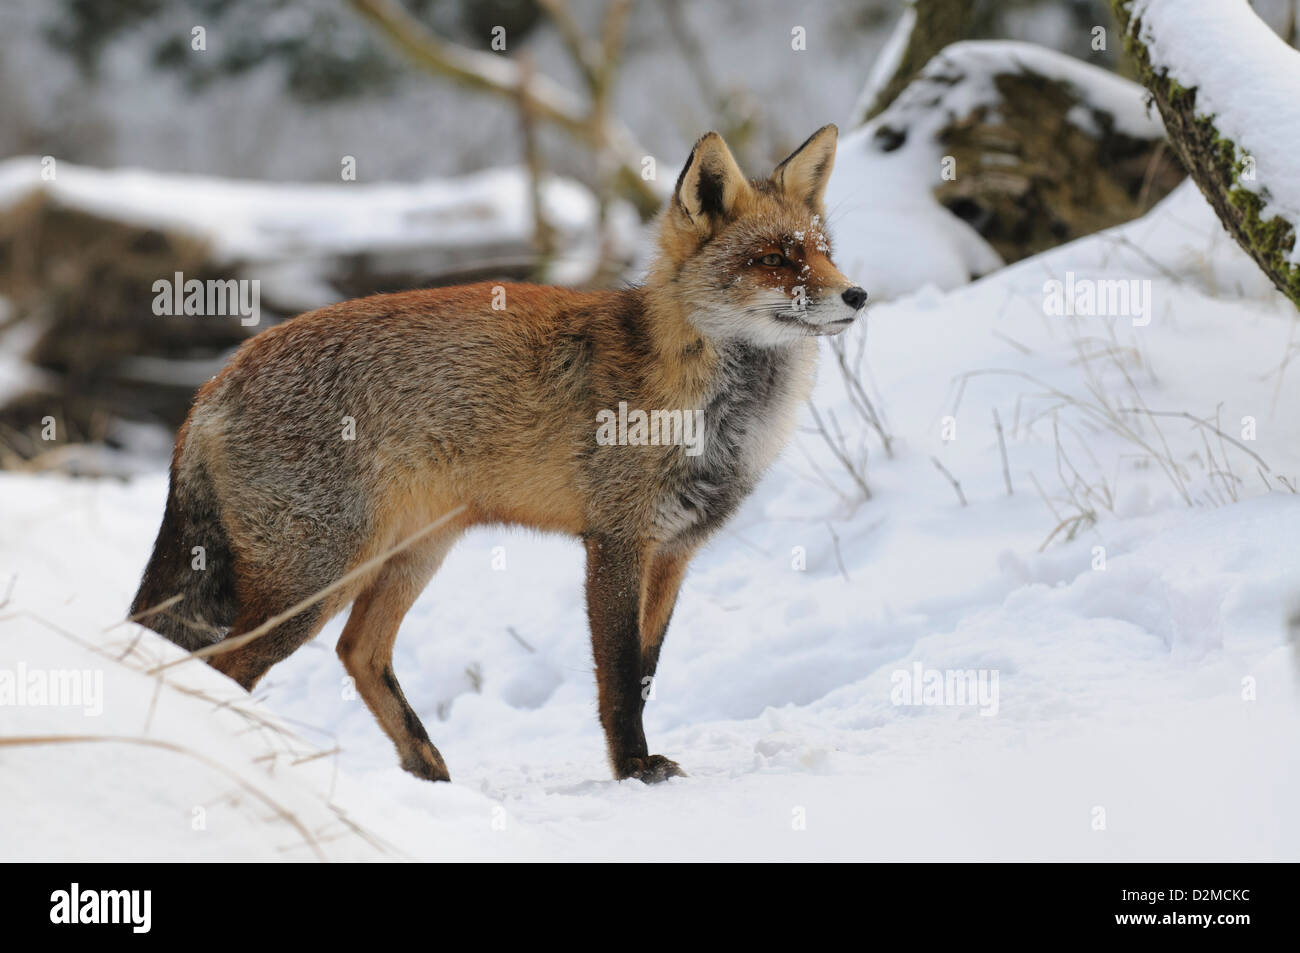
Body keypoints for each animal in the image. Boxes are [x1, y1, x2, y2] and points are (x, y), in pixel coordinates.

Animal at [130, 123, 867, 784]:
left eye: (825, 252)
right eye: (773, 258)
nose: (856, 294)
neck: (715, 413)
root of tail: (214, 382)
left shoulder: (675, 550)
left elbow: (648, 669)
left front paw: (636, 760)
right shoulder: (617, 540)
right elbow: (620, 676)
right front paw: (633, 769)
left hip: (415, 553)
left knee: (357, 651)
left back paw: (425, 770)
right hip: (317, 576)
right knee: (223, 667)